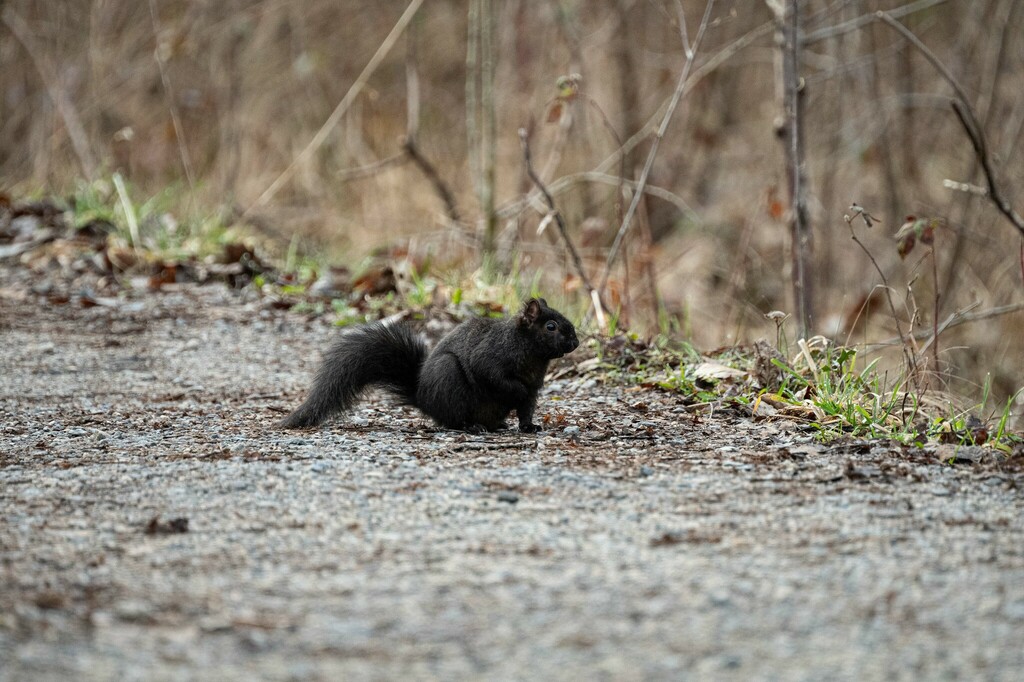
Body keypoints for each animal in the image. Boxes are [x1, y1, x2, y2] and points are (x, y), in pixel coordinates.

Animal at [280, 298, 579, 432]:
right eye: (551, 326)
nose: (575, 342)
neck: (532, 354)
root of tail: (423, 398)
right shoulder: (491, 355)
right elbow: (493, 376)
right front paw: (516, 391)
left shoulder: (536, 384)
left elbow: (527, 407)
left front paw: (529, 427)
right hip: (449, 378)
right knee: (453, 420)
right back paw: (471, 427)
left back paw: (498, 425)